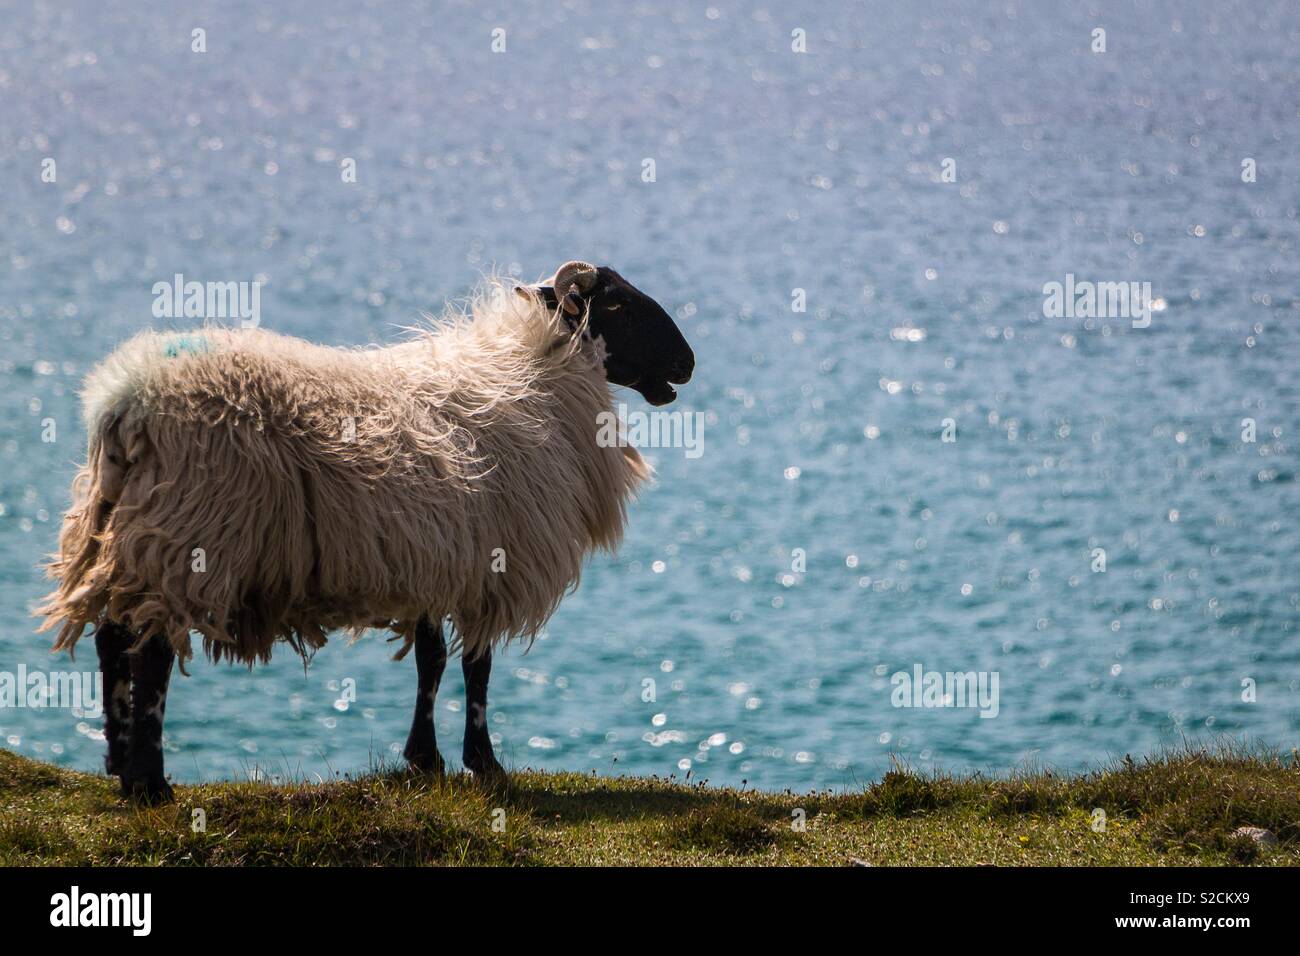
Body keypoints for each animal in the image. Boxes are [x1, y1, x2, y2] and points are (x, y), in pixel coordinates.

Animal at [36, 261, 696, 801]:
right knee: (149, 655)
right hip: (189, 537)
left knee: (112, 639)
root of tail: (123, 403)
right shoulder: (491, 566)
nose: (687, 362)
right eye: (617, 305)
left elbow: (431, 661)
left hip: (129, 534)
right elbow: (476, 668)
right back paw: (150, 784)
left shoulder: (440, 558)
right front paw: (483, 762)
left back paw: (119, 766)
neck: (534, 376)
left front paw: (425, 761)